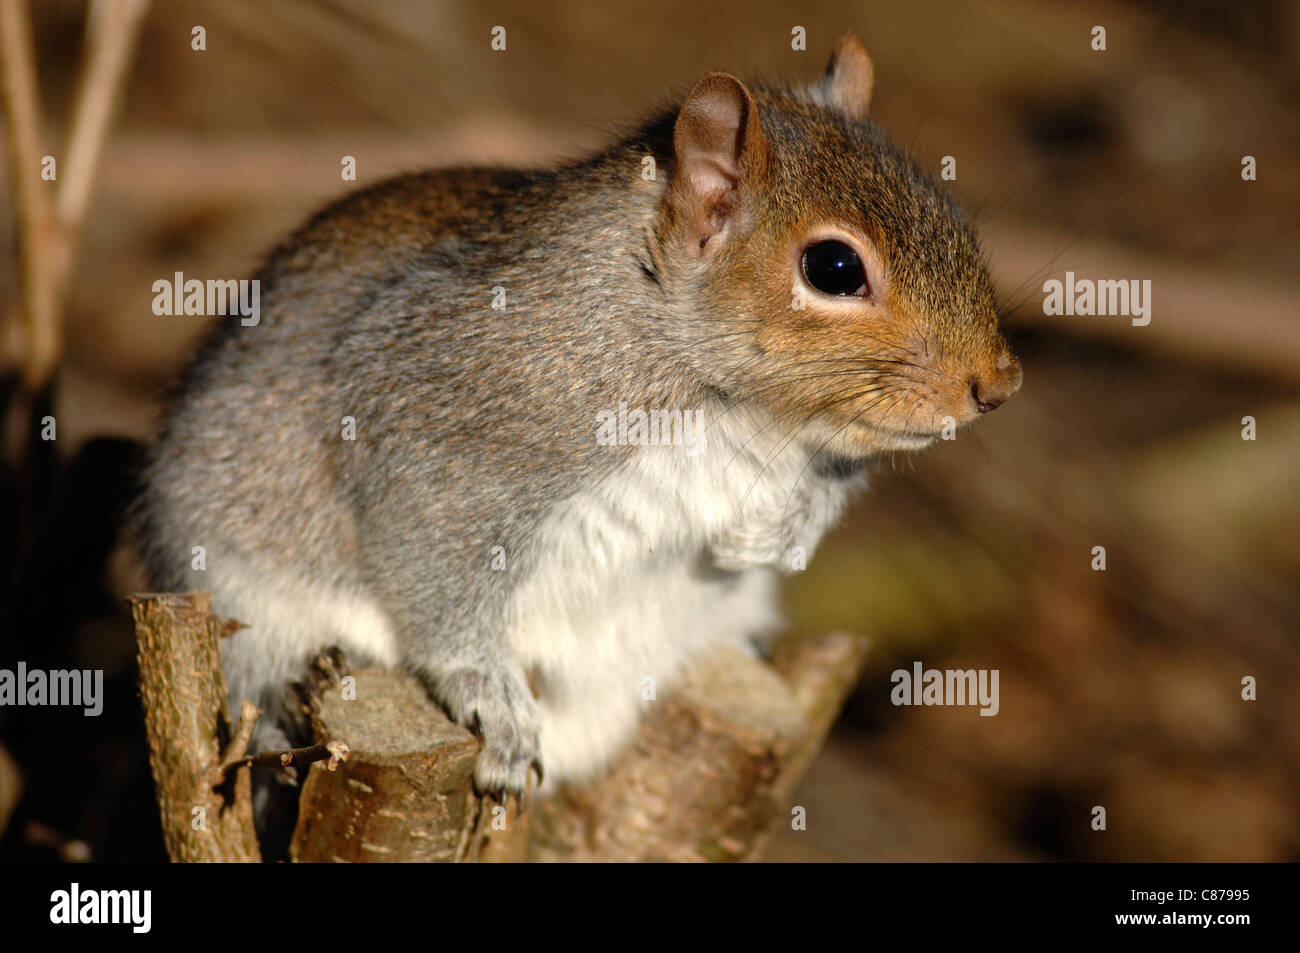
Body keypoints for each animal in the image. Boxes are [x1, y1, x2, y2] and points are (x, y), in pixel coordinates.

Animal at [136, 34, 1021, 800]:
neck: (738, 408)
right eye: (833, 267)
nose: (998, 385)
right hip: (242, 588)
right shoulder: (435, 421)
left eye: (954, 217)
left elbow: (826, 487)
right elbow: (435, 569)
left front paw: (776, 532)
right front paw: (490, 692)